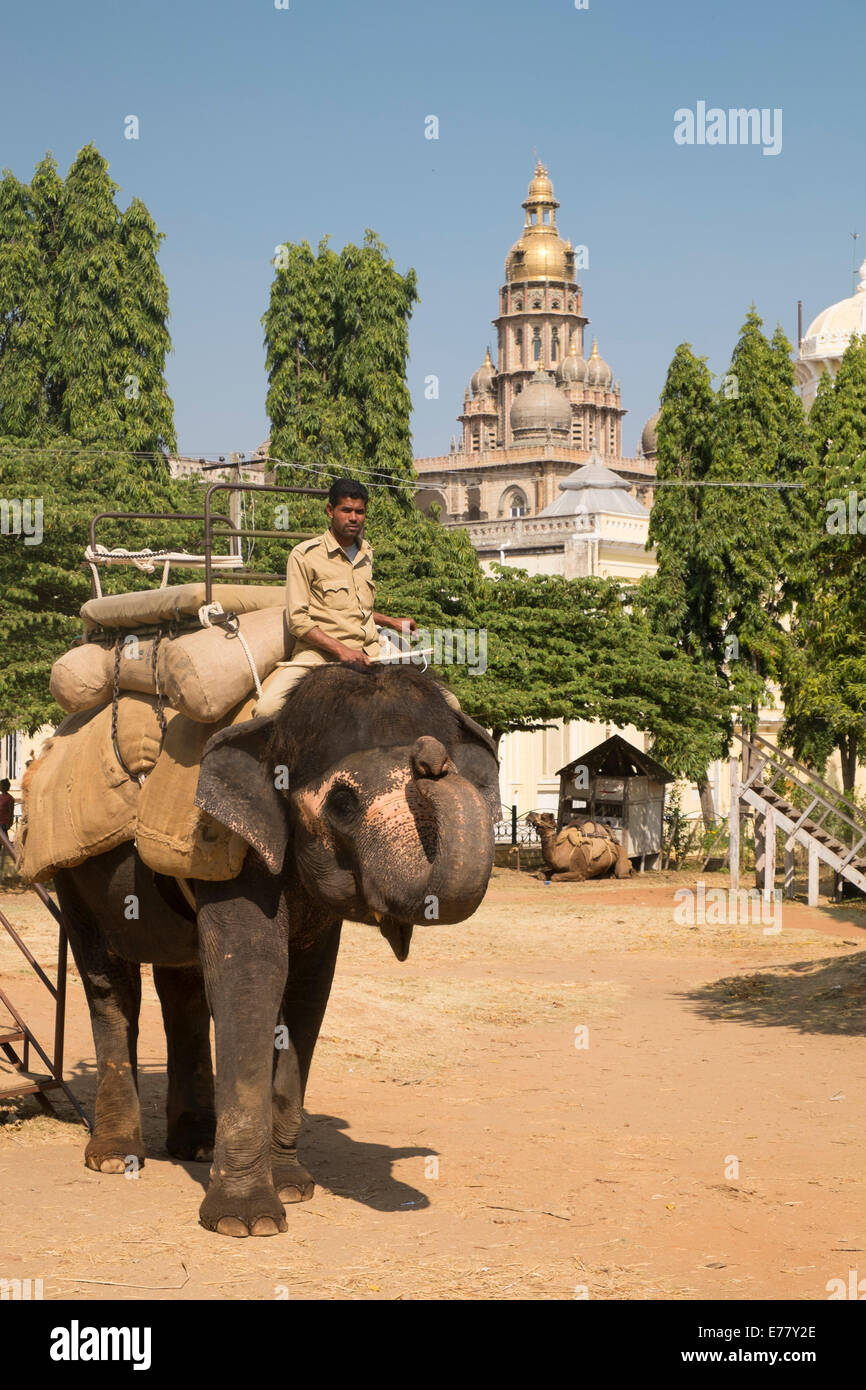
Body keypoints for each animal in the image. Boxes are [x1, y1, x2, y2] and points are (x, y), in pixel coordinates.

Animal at [53, 662, 500, 1237]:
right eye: (343, 802)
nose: (432, 759)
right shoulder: (231, 848)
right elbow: (253, 973)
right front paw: (247, 1222)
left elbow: (308, 986)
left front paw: (293, 1187)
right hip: (73, 876)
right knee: (109, 984)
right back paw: (114, 1158)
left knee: (183, 989)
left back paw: (197, 1147)